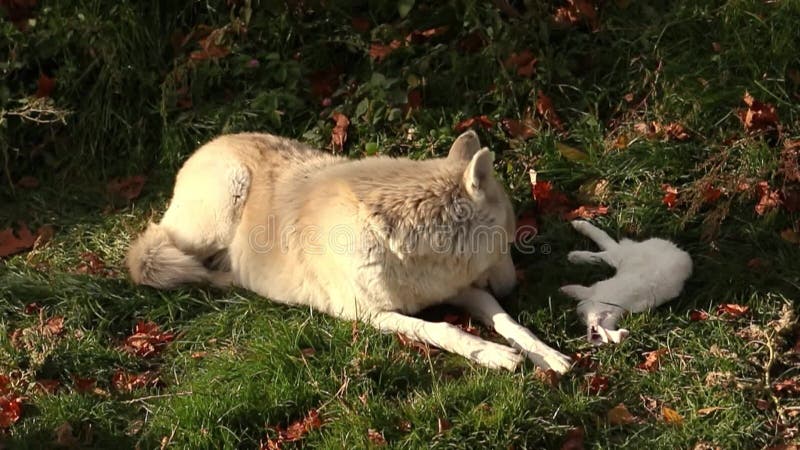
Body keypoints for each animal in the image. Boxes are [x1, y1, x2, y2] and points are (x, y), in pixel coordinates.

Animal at [126, 130, 572, 373]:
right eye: (506, 242)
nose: (513, 288)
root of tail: (205, 146)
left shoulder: (459, 289)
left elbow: (508, 323)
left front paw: (547, 355)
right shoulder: (369, 315)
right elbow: (446, 331)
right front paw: (496, 356)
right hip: (219, 206)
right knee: (152, 260)